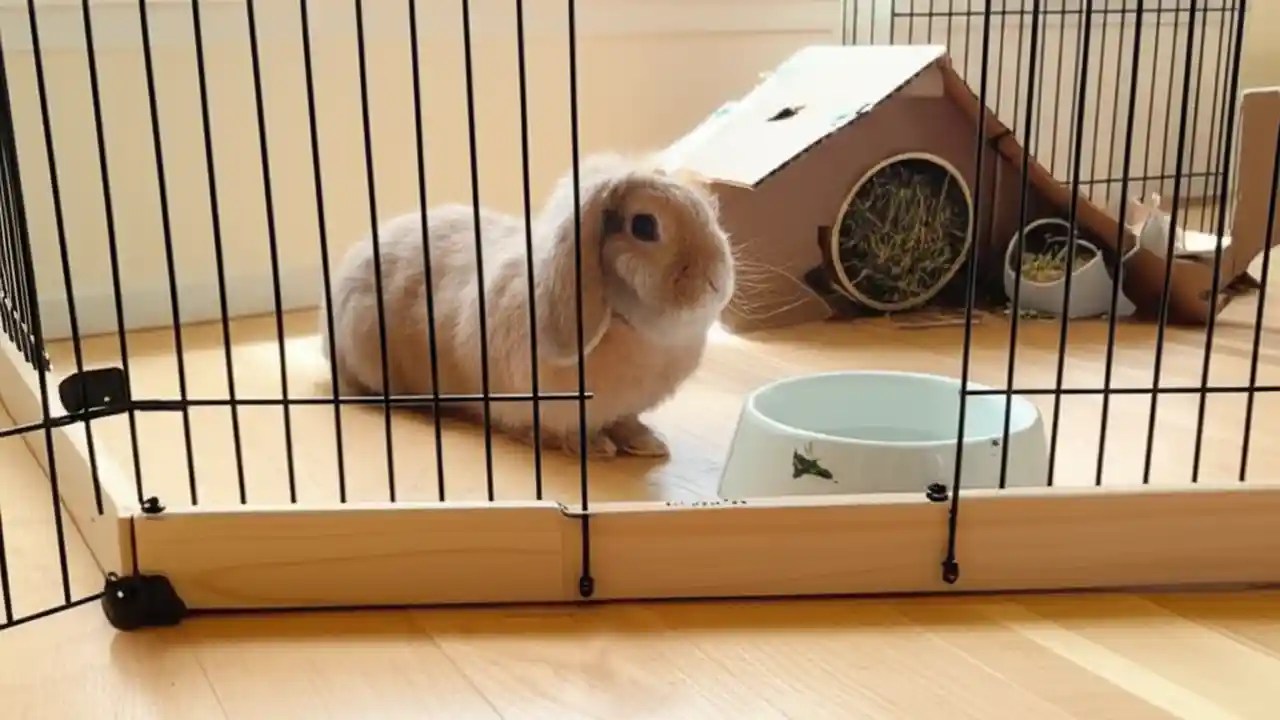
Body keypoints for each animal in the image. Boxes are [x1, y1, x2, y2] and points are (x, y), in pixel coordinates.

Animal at [320, 153, 735, 458]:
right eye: (645, 227)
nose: (716, 282)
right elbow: (549, 429)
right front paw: (594, 447)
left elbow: (625, 421)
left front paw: (648, 443)